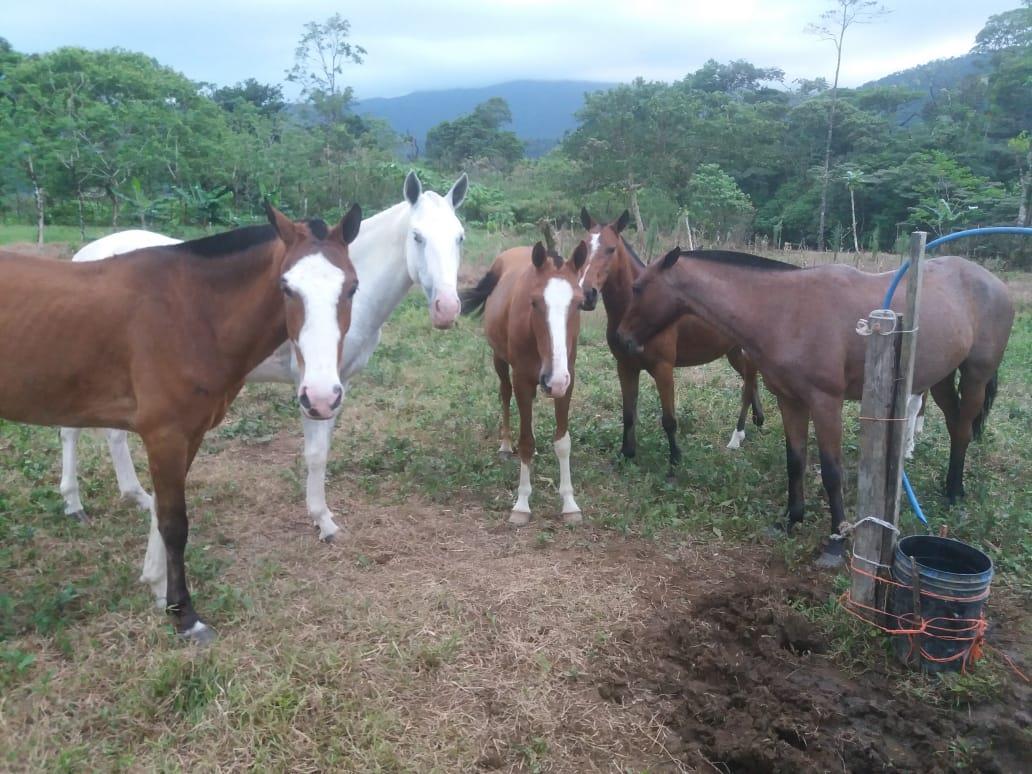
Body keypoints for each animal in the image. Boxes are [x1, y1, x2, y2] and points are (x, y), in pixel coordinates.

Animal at [0, 203, 362, 641]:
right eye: (286, 287)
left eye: (352, 288)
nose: (322, 398)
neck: (191, 313)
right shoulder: (165, 435)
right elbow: (174, 523)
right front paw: (184, 614)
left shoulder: (189, 434)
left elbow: (160, 511)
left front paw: (157, 588)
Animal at [57, 171, 468, 541]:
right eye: (417, 236)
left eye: (460, 237)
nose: (447, 308)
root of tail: (85, 255)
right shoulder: (310, 386)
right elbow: (315, 454)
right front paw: (324, 522)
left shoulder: (338, 384)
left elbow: (324, 448)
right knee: (70, 430)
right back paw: (74, 504)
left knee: (114, 433)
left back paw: (137, 496)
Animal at [461, 241, 588, 525]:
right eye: (534, 302)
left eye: (578, 303)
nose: (553, 379)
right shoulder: (522, 379)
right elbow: (526, 442)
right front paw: (521, 504)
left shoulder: (567, 381)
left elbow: (563, 443)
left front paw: (570, 503)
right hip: (500, 360)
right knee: (505, 394)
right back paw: (507, 445)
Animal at [576, 208, 767, 466]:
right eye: (584, 247)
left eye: (611, 249)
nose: (587, 295)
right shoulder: (625, 366)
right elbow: (628, 413)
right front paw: (626, 453)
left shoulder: (663, 368)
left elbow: (668, 419)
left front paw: (675, 459)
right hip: (734, 352)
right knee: (751, 380)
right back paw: (756, 422)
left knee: (748, 384)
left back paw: (738, 435)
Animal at [617, 248, 1014, 567]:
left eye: (638, 288)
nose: (621, 339)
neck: (787, 310)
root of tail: (994, 282)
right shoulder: (790, 400)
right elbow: (795, 462)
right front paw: (791, 520)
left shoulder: (826, 403)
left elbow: (831, 471)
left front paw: (836, 541)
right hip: (942, 377)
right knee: (956, 425)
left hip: (975, 375)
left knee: (962, 428)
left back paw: (954, 491)